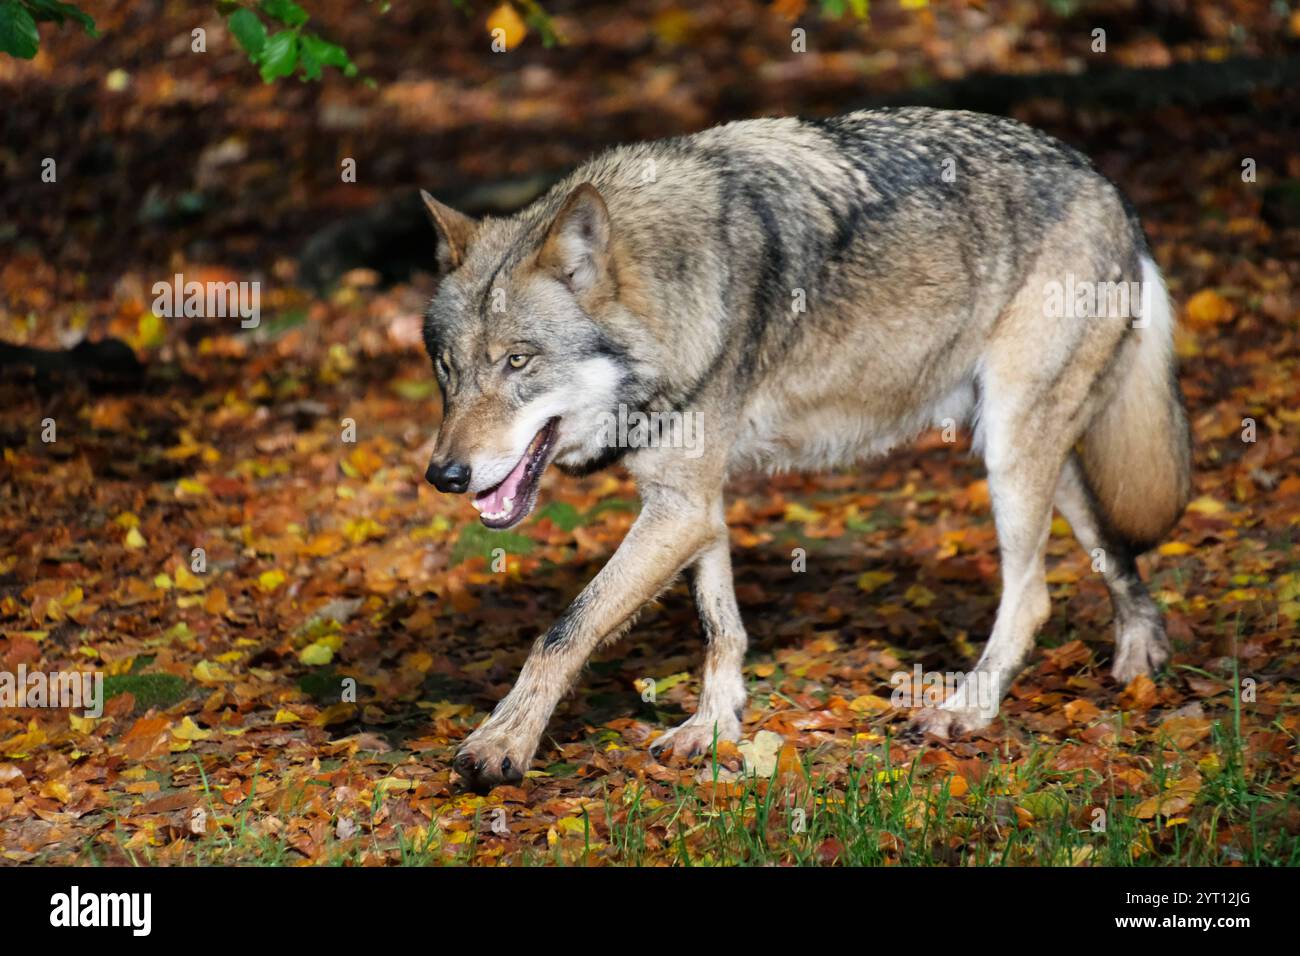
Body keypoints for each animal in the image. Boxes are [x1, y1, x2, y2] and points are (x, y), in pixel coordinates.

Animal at [419, 107, 1191, 791]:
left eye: (518, 361)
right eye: (447, 370)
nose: (443, 475)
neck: (674, 285)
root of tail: (1111, 189)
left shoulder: (679, 508)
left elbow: (563, 630)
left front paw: (500, 745)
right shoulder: (694, 504)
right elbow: (719, 625)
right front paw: (713, 728)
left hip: (1009, 445)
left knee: (1030, 595)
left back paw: (966, 711)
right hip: (1034, 445)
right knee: (1110, 543)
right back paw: (1142, 654)